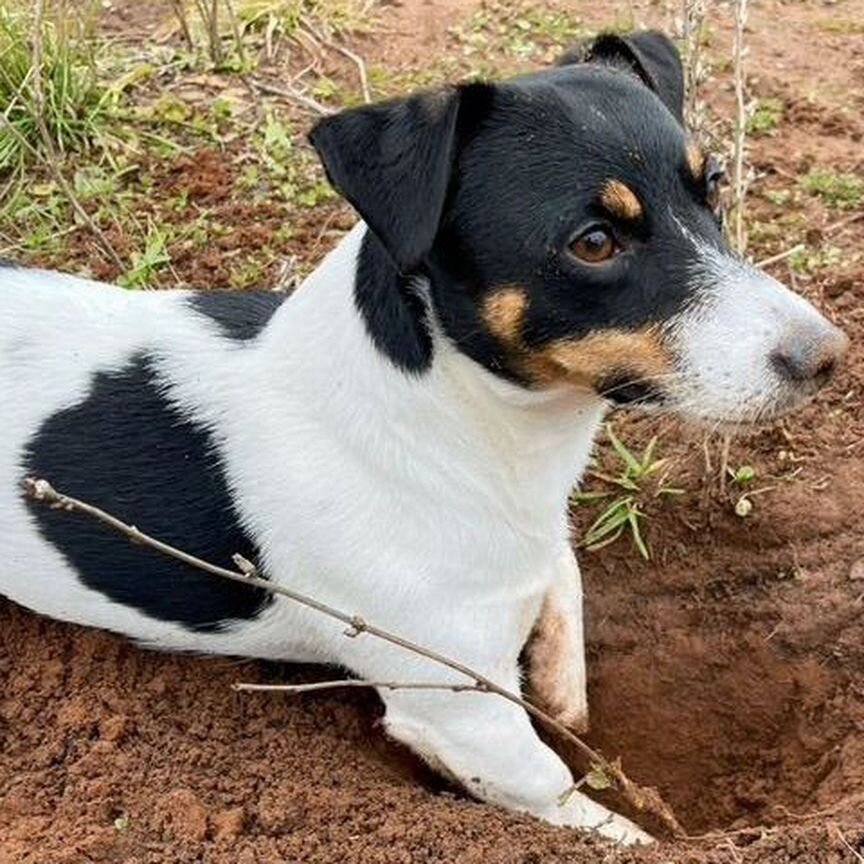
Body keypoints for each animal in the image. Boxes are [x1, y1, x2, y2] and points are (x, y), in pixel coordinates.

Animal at [0, 32, 852, 844]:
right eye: (593, 242)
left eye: (715, 187)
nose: (828, 355)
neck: (466, 431)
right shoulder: (461, 716)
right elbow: (572, 798)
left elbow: (563, 592)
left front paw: (564, 690)